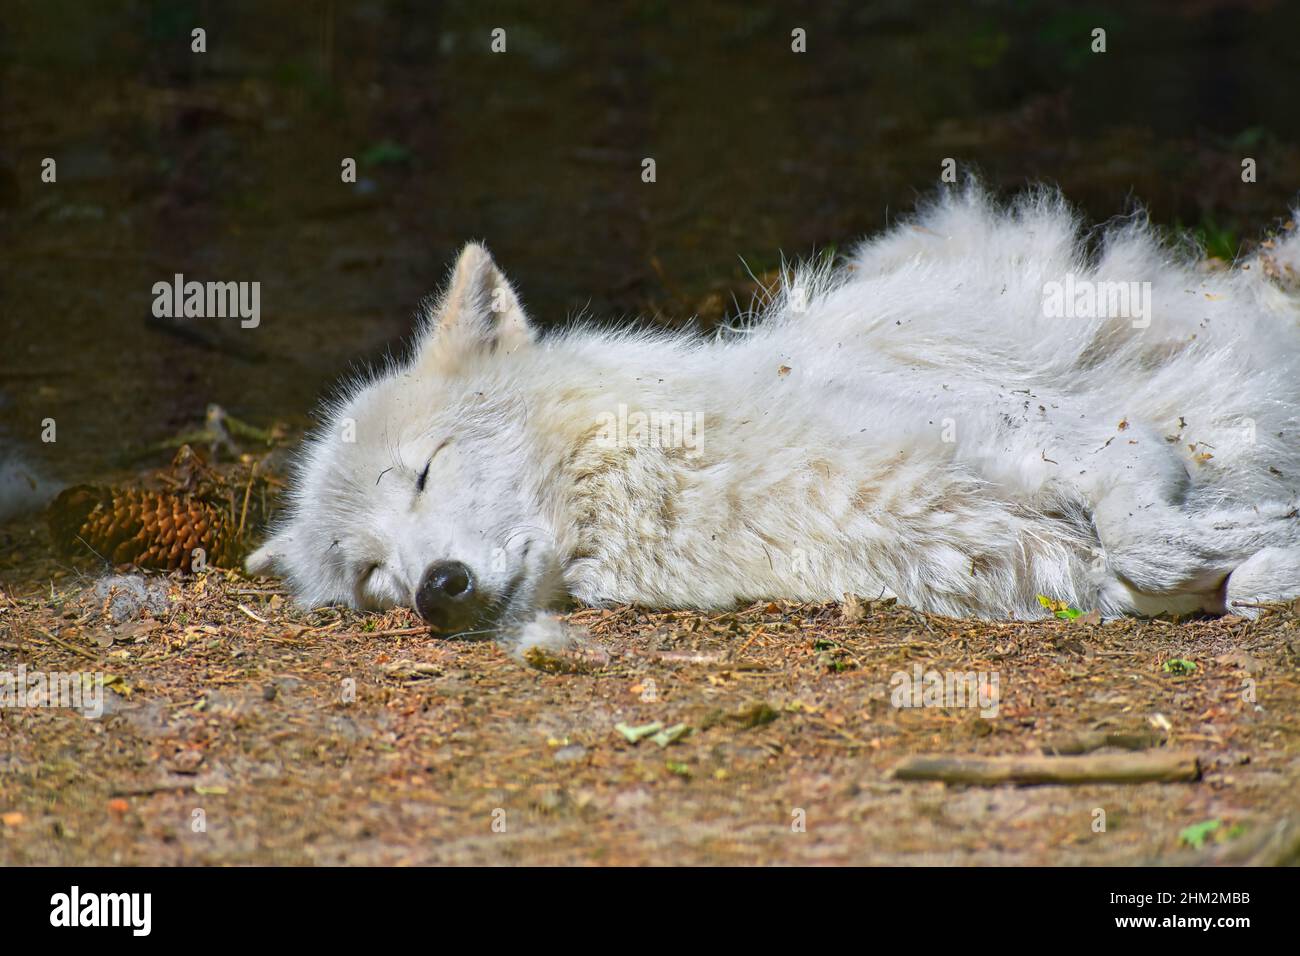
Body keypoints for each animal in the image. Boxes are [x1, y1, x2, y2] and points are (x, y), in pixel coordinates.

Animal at [248, 185, 1300, 653]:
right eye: (370, 574)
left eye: (427, 470)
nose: (436, 589)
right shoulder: (1034, 572)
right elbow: (1157, 579)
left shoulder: (1064, 435)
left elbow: (1157, 537)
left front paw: (1248, 540)